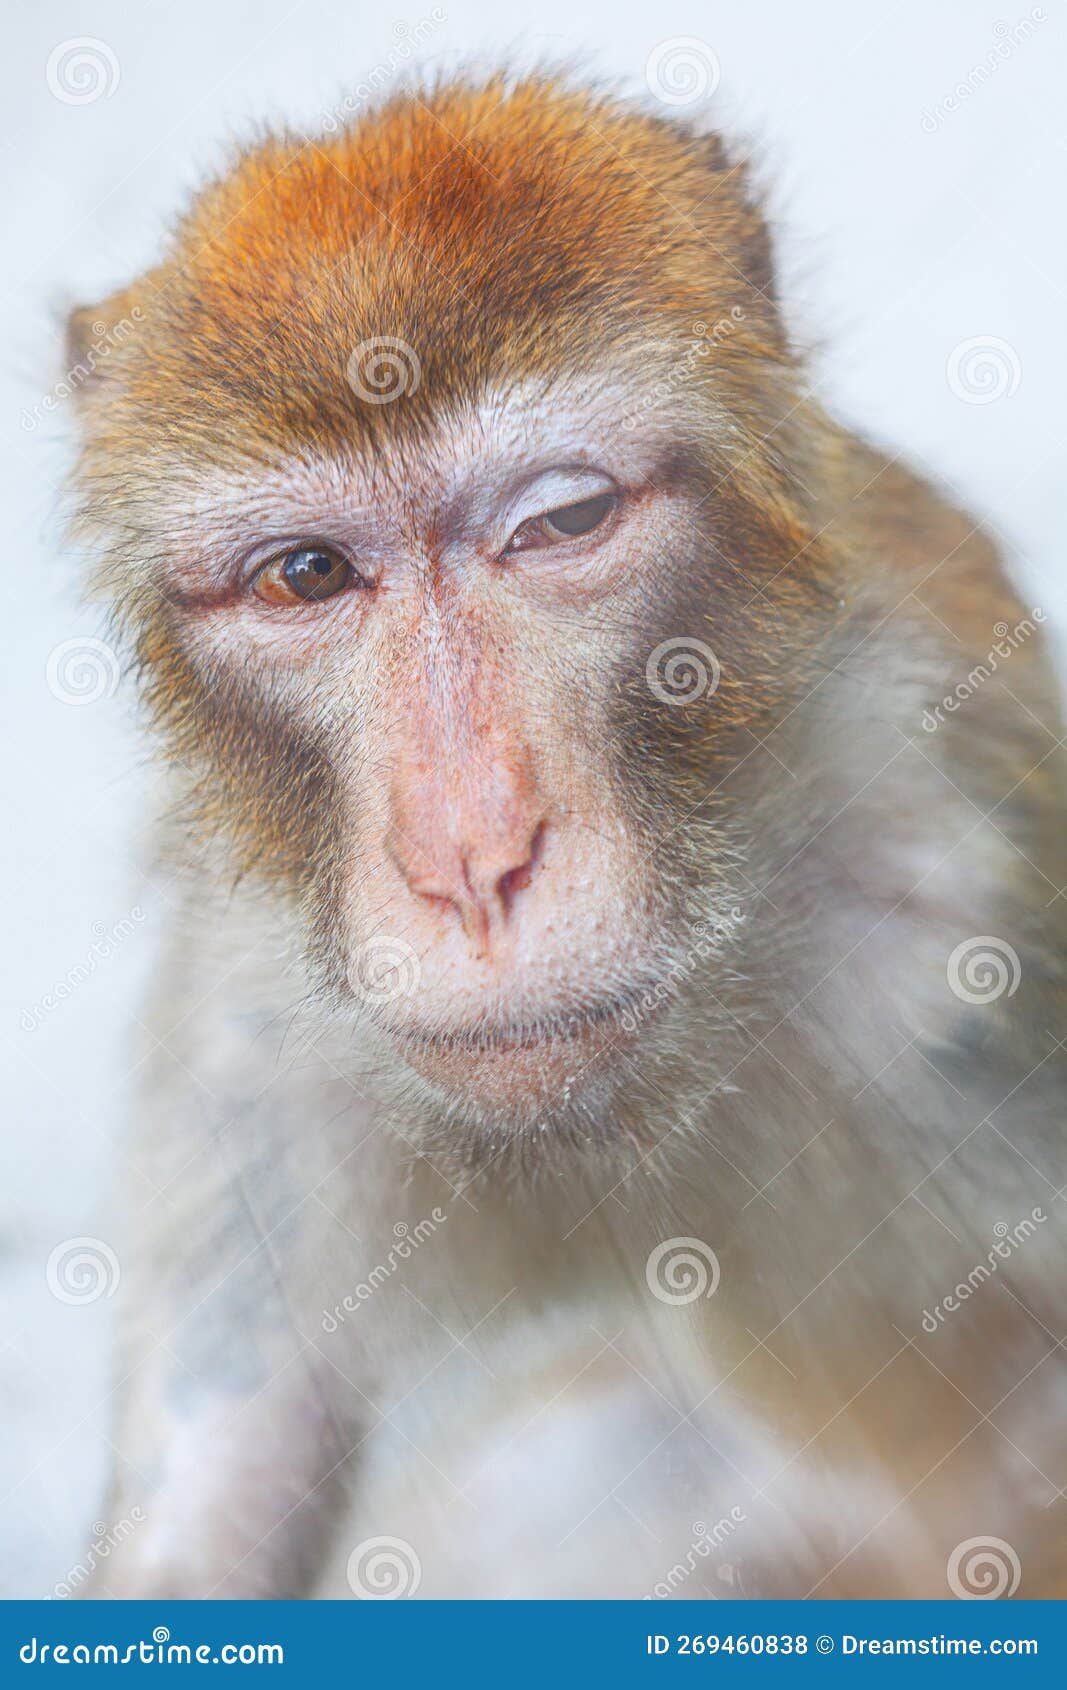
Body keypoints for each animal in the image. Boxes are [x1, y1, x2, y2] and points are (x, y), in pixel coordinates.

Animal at [62, 71, 1067, 1600]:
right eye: (305, 573)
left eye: (561, 518)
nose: (470, 862)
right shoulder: (250, 1019)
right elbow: (210, 1504)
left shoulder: (972, 906)